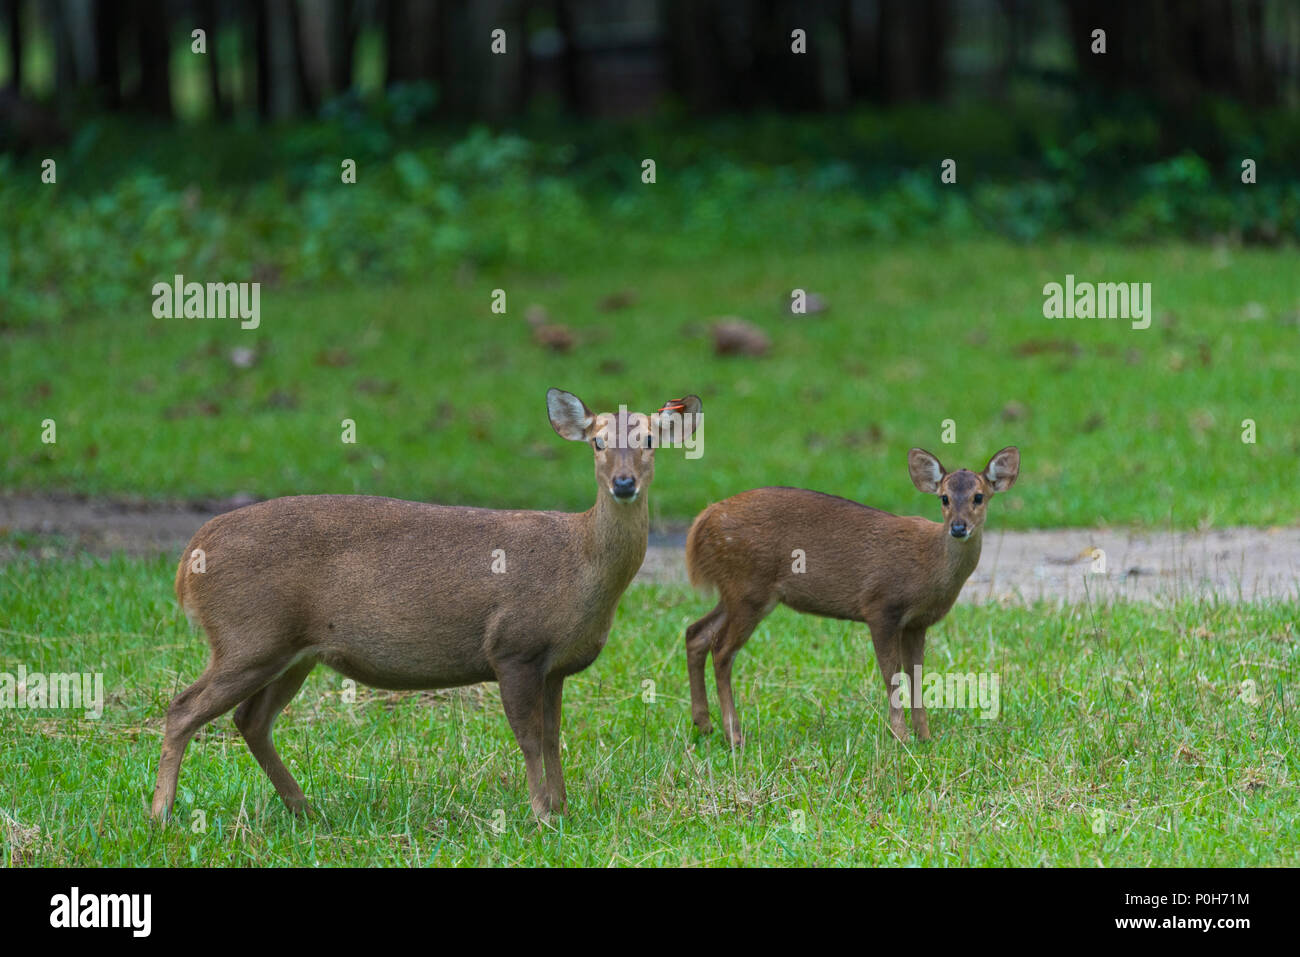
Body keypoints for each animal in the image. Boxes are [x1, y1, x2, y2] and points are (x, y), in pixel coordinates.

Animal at [151, 388, 702, 823]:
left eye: (649, 441)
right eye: (597, 442)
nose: (624, 484)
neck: (581, 564)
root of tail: (187, 562)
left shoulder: (555, 665)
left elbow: (552, 737)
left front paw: (563, 808)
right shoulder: (513, 645)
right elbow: (528, 737)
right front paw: (542, 814)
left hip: (292, 650)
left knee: (250, 720)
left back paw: (306, 809)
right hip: (247, 634)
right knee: (183, 708)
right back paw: (162, 815)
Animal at [683, 446, 1019, 746]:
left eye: (978, 497)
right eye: (944, 498)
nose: (959, 527)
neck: (930, 566)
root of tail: (703, 520)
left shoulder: (916, 623)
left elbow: (917, 675)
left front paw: (924, 736)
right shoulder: (881, 605)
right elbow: (891, 675)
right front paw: (901, 737)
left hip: (735, 591)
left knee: (696, 632)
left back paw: (704, 725)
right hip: (749, 587)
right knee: (722, 650)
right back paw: (734, 735)